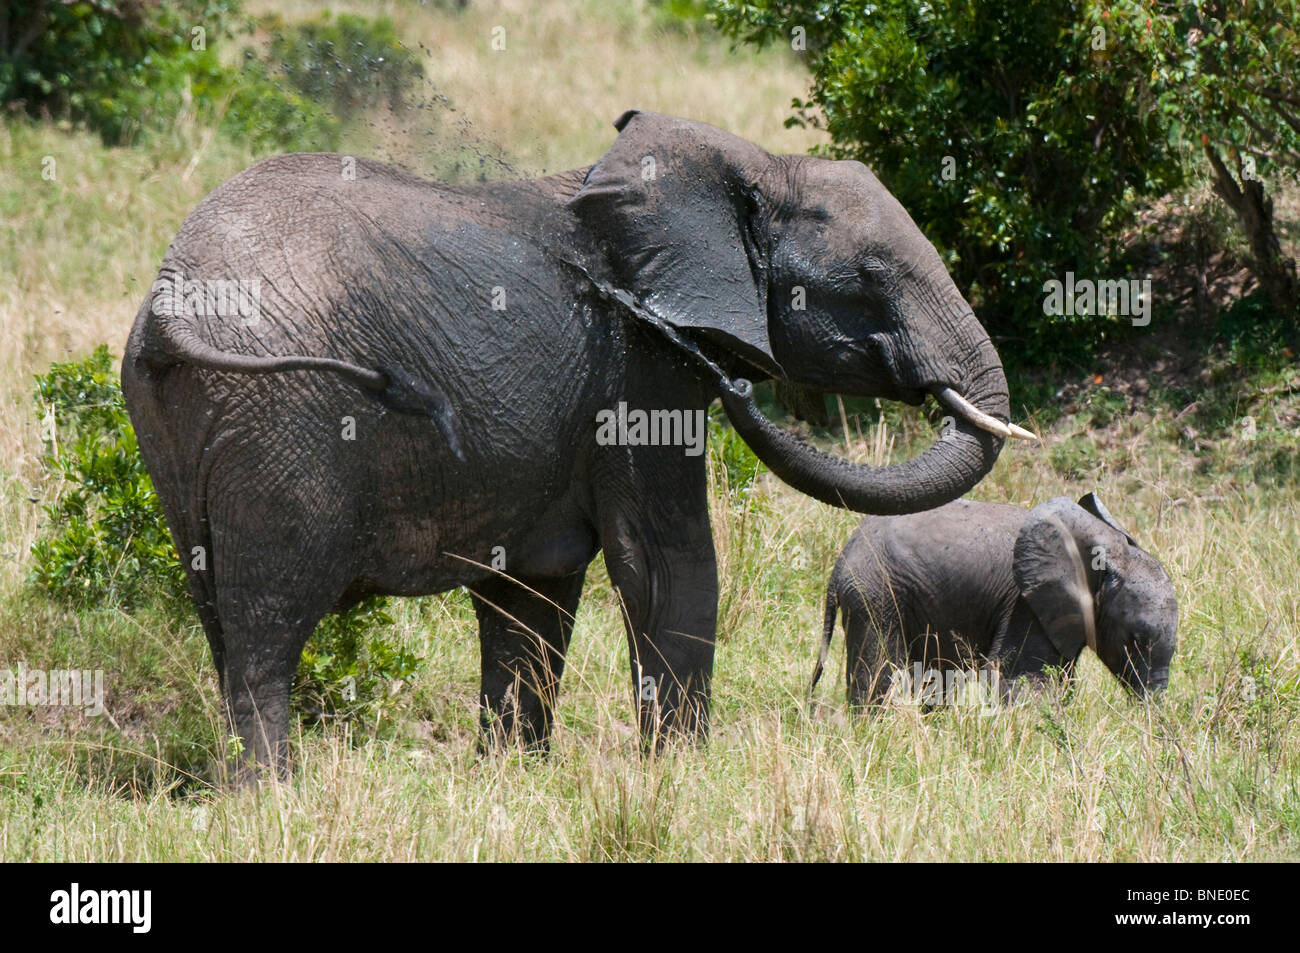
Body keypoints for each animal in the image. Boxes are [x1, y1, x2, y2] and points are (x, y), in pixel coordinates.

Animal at [122, 108, 1035, 773]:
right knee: (270, 620)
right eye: (873, 275)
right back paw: (273, 795)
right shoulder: (639, 368)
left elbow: (533, 592)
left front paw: (512, 777)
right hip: (282, 417)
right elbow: (669, 562)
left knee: (219, 610)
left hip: (179, 419)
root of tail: (175, 288)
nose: (741, 380)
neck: (752, 163)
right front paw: (684, 776)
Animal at [811, 494, 1178, 707]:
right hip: (875, 595)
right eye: (1136, 640)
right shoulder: (1025, 606)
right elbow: (1022, 681)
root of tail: (841, 562)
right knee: (879, 676)